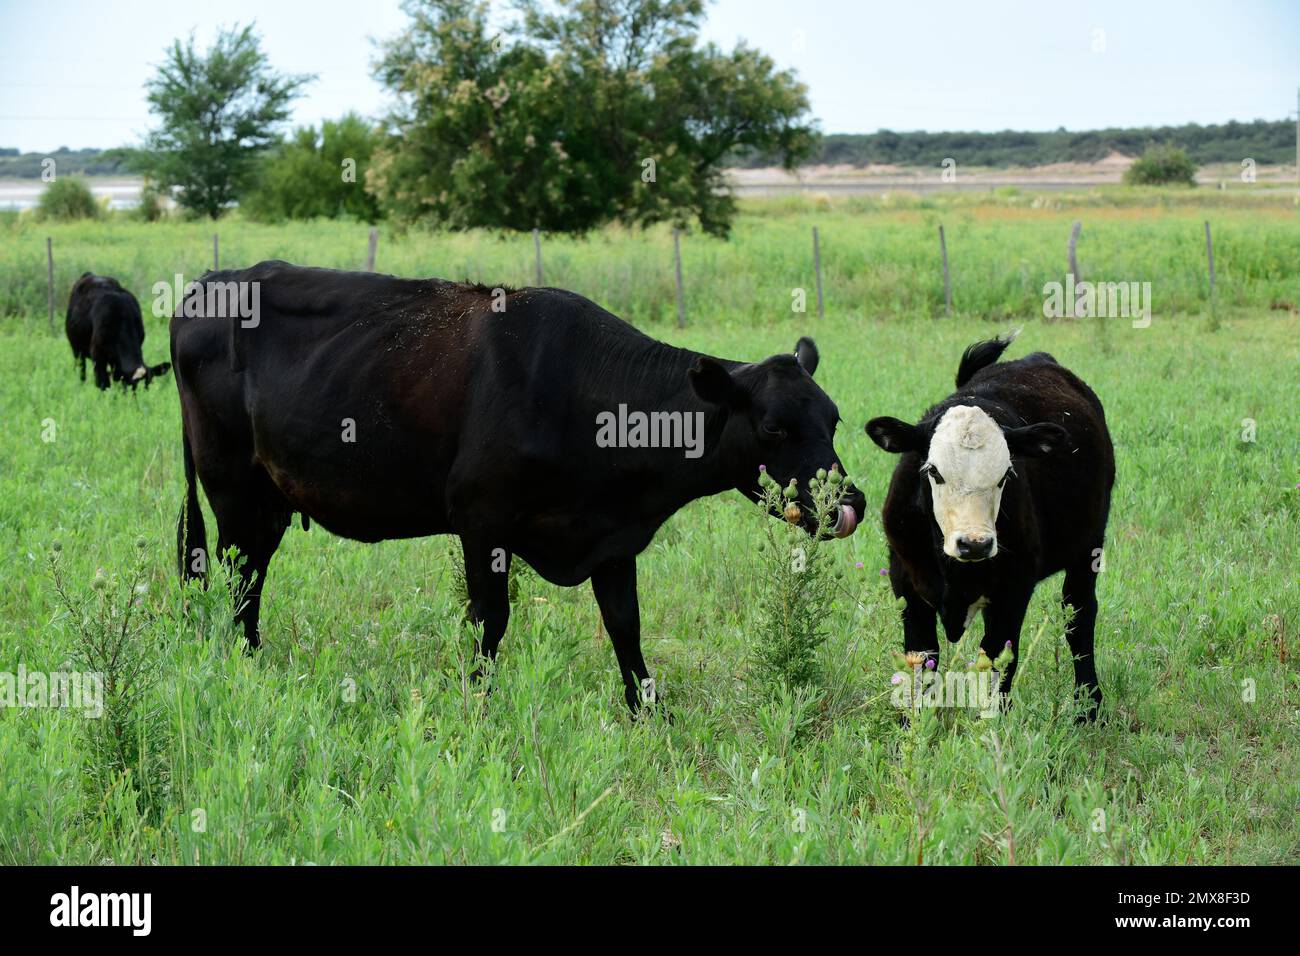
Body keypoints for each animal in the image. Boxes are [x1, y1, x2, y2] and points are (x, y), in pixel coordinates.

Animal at [172, 261, 865, 713]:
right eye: (774, 428)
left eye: (834, 418)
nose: (850, 505)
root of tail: (211, 282)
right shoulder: (483, 524)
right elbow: (489, 623)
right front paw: (479, 706)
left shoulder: (612, 541)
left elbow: (625, 626)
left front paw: (649, 713)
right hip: (230, 486)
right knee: (238, 575)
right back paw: (247, 666)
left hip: (268, 499)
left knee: (251, 573)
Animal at [865, 332, 1114, 720]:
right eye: (934, 471)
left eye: (1005, 475)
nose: (975, 544)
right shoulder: (907, 586)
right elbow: (921, 660)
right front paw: (915, 725)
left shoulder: (1013, 590)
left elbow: (997, 662)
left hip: (1089, 545)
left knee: (1080, 616)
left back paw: (1088, 707)